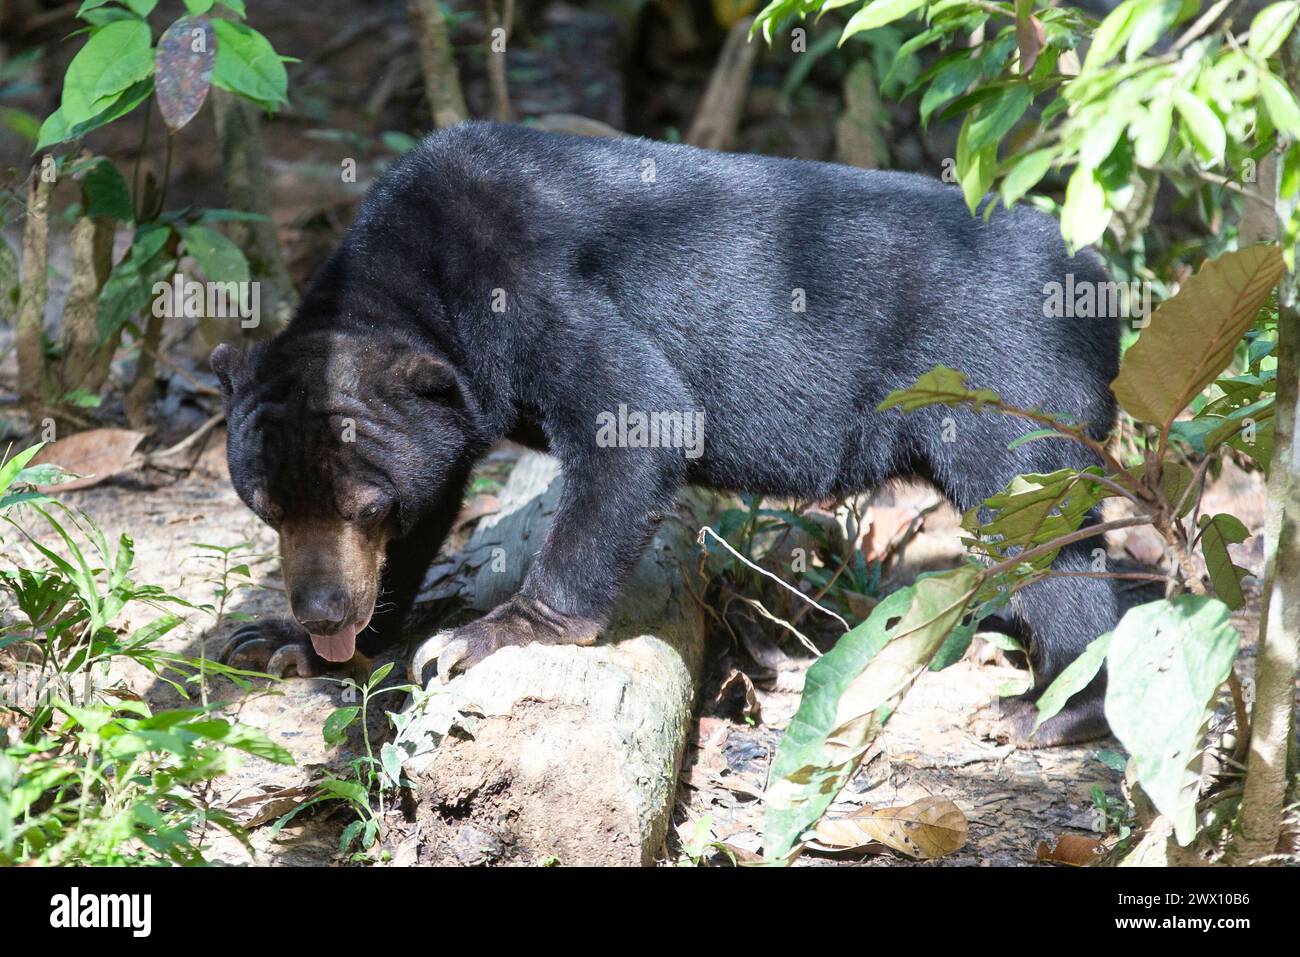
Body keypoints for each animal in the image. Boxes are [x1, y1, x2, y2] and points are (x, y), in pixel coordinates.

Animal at [211, 121, 1121, 747]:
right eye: (267, 510)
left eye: (367, 506)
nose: (325, 610)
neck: (414, 292)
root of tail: (1103, 281)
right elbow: (432, 504)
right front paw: (283, 643)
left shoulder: (527, 290)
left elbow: (642, 416)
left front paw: (484, 634)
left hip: (1013, 386)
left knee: (1043, 529)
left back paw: (1047, 710)